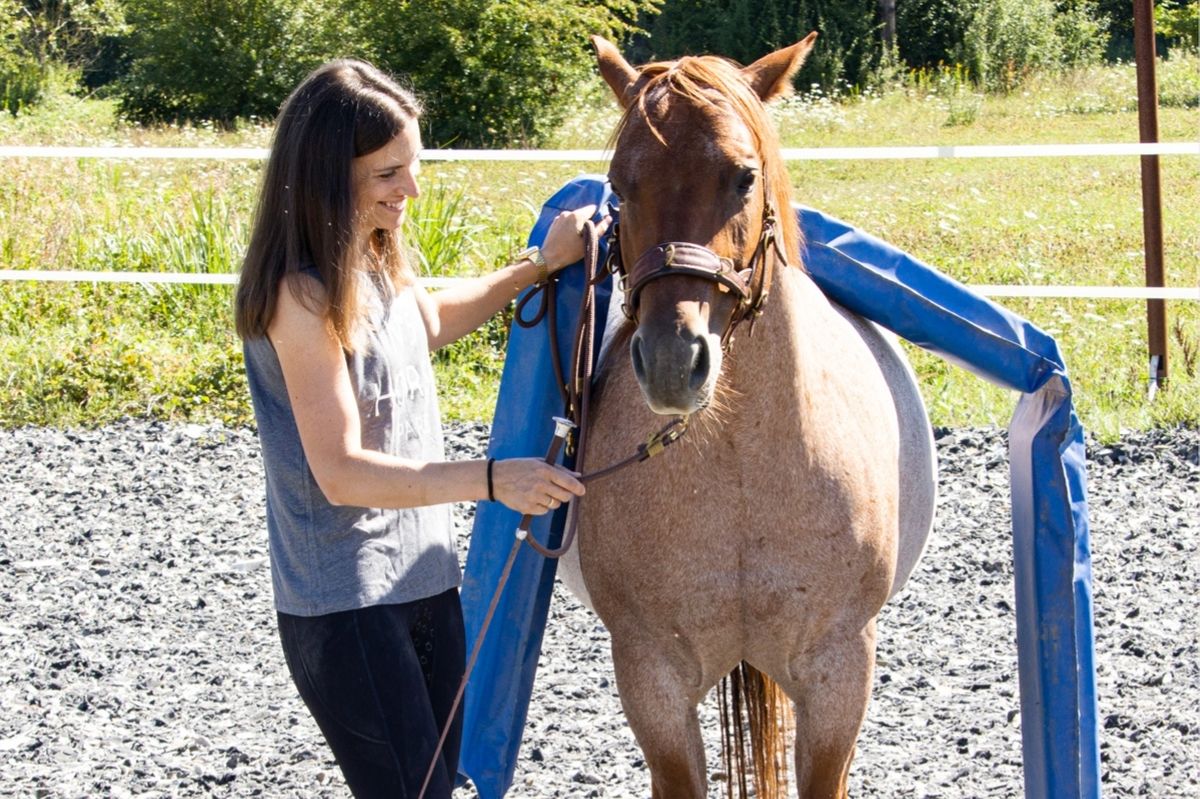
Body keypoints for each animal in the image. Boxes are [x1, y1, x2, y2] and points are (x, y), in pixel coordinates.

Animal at [555, 35, 938, 798]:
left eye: (743, 175)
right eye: (619, 185)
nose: (673, 359)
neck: (738, 467)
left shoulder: (837, 671)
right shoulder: (652, 678)